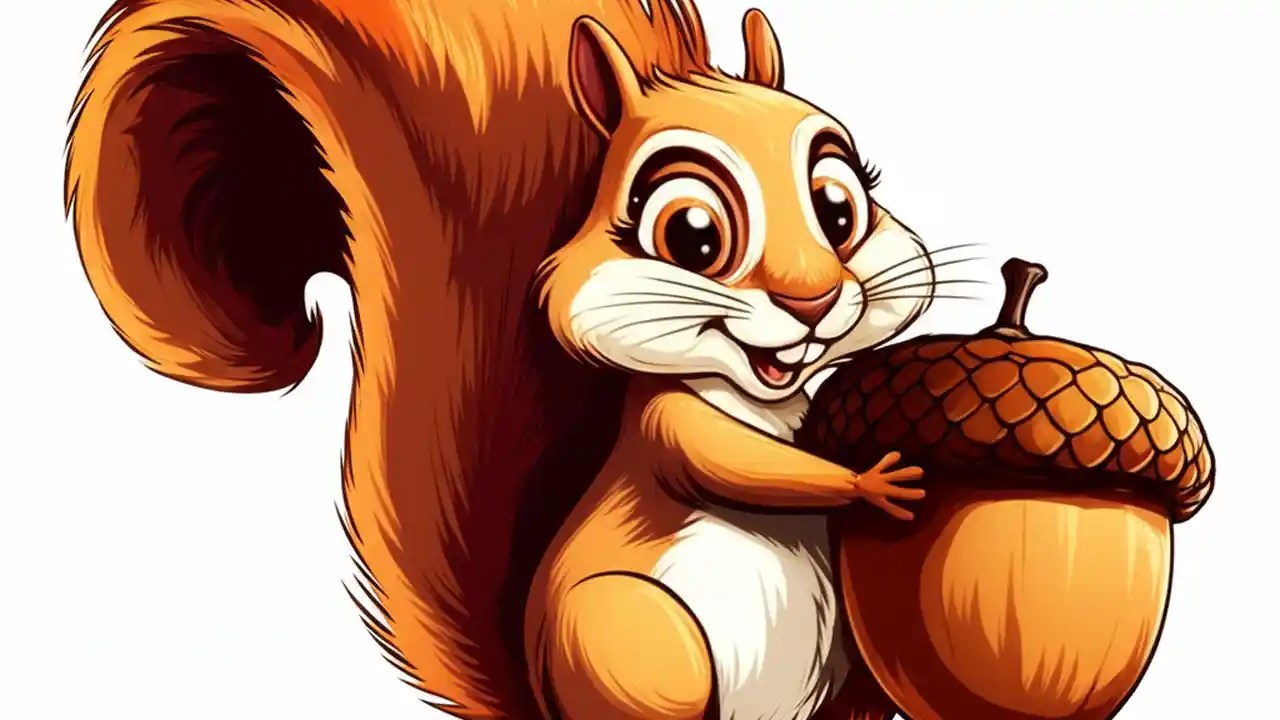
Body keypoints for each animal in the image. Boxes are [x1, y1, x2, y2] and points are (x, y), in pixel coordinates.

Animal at [65, 1, 939, 719]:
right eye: (691, 233)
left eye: (841, 206)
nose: (813, 300)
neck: (767, 398)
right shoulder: (668, 426)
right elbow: (736, 464)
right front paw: (870, 481)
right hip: (638, 642)